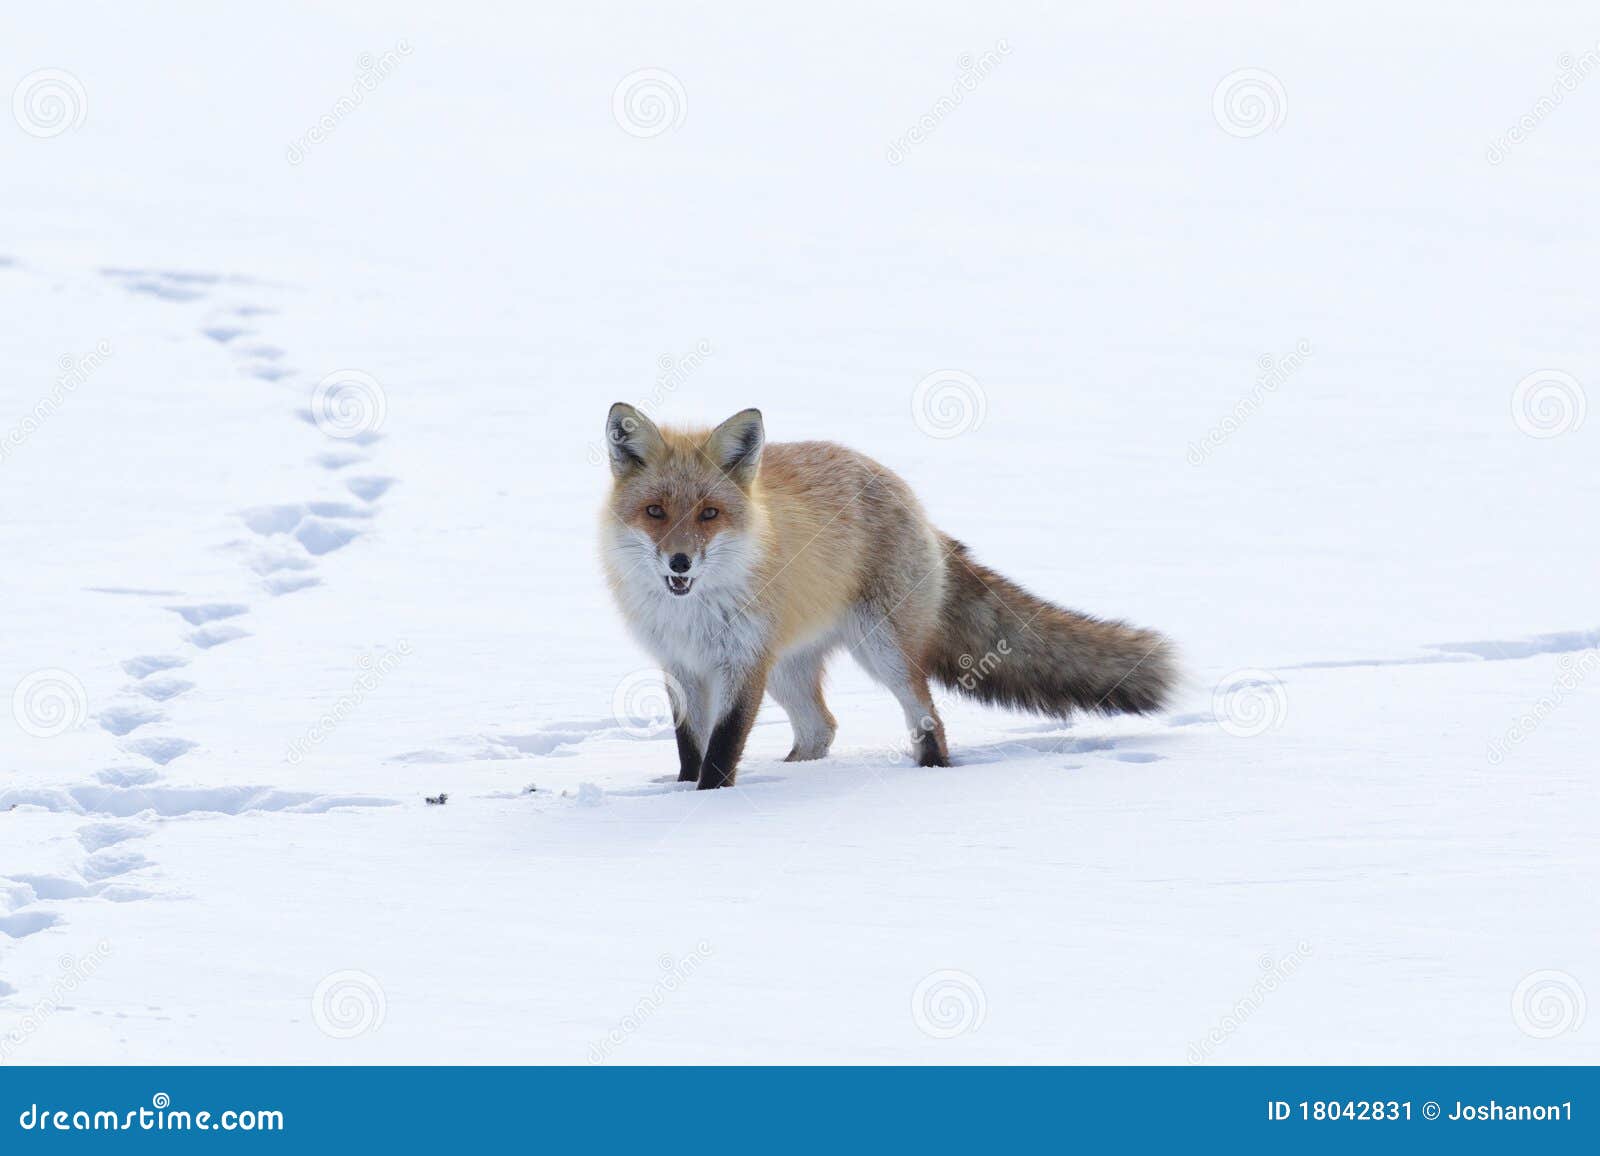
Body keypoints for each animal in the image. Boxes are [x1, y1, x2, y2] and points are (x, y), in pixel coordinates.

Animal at [600, 403, 1176, 789]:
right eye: (655, 512)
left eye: (709, 514)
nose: (679, 563)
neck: (690, 612)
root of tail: (906, 493)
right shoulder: (680, 664)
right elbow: (690, 749)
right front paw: (682, 793)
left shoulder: (742, 662)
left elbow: (721, 752)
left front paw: (707, 804)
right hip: (786, 668)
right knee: (823, 729)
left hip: (880, 650)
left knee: (927, 717)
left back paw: (929, 776)